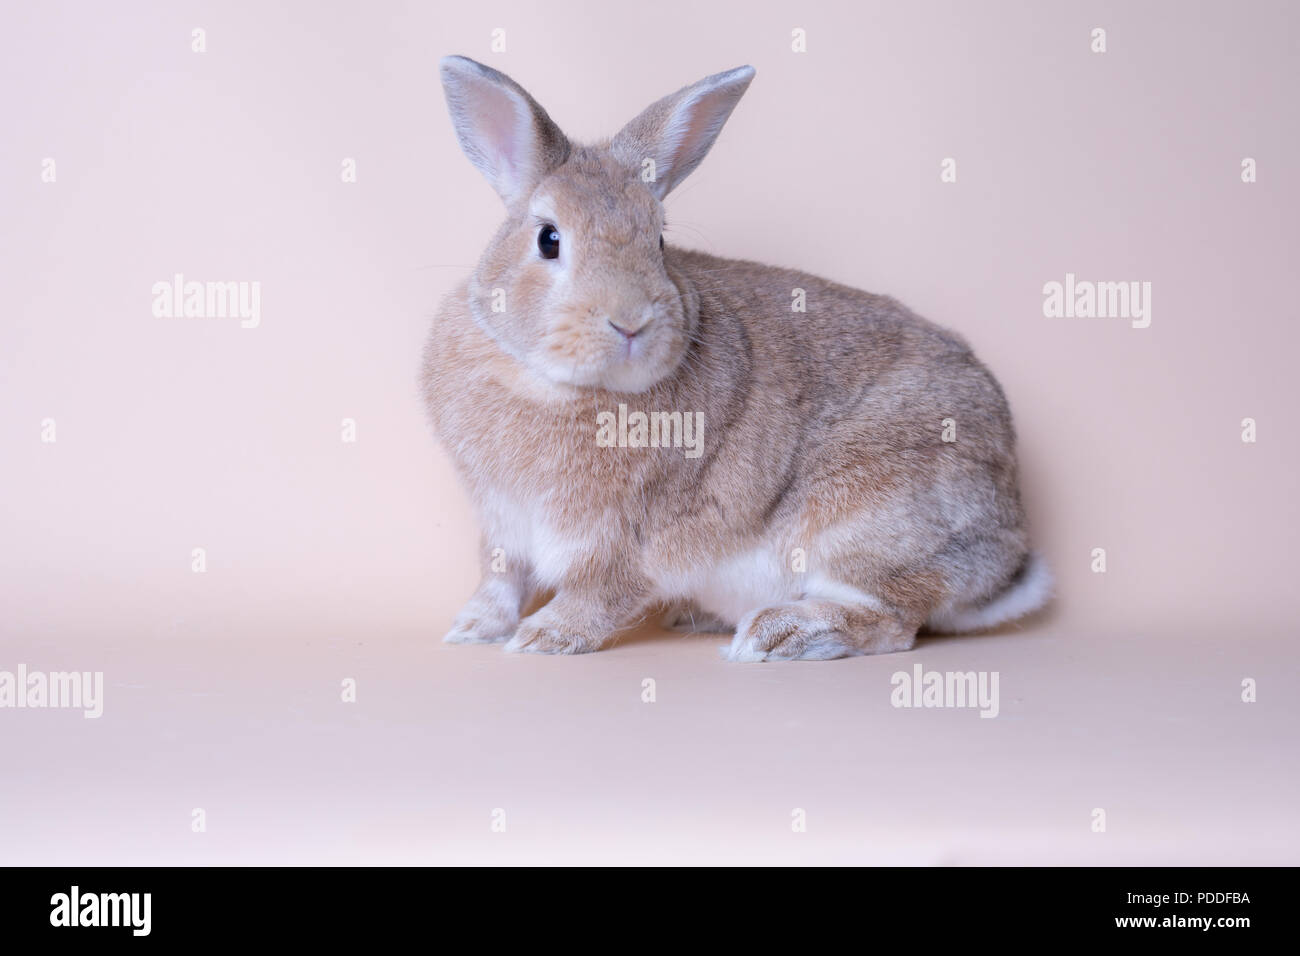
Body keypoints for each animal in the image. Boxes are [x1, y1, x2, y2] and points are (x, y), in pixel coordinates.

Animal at [422, 55, 1051, 662]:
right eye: (548, 239)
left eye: (658, 241)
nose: (631, 321)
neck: (550, 382)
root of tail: (1005, 555)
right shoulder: (504, 528)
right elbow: (501, 581)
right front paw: (472, 629)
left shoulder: (631, 540)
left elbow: (601, 592)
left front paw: (545, 637)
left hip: (865, 519)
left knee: (892, 621)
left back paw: (780, 635)